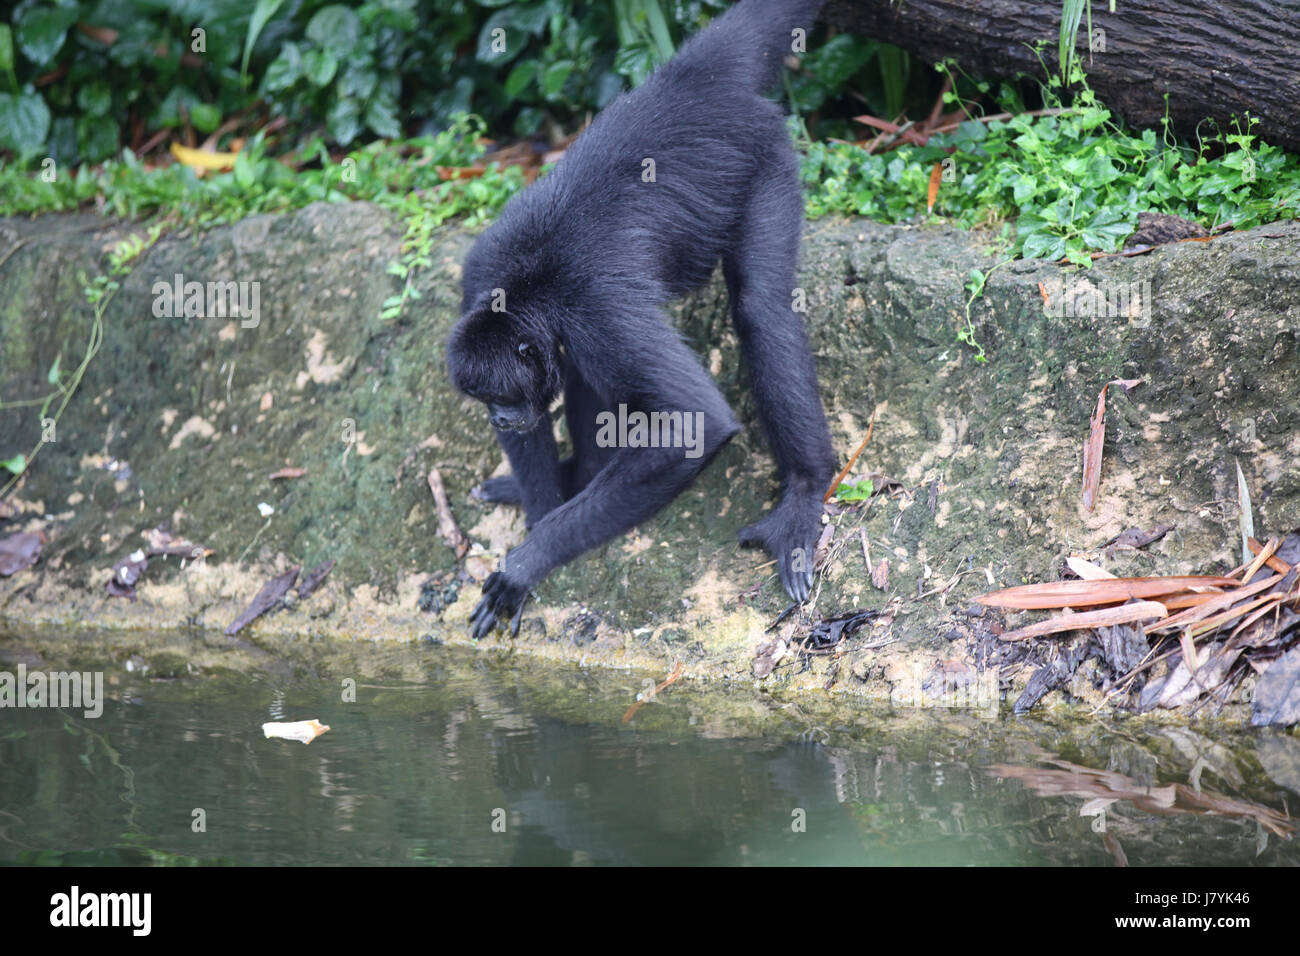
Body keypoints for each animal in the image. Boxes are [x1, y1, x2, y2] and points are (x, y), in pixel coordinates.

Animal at [446, 0, 836, 637]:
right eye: (484, 400)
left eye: (502, 395)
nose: (501, 417)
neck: (529, 279)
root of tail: (689, 83)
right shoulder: (479, 276)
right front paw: (544, 508)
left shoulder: (598, 309)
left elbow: (694, 423)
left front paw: (527, 562)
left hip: (766, 154)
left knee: (760, 307)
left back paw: (804, 489)